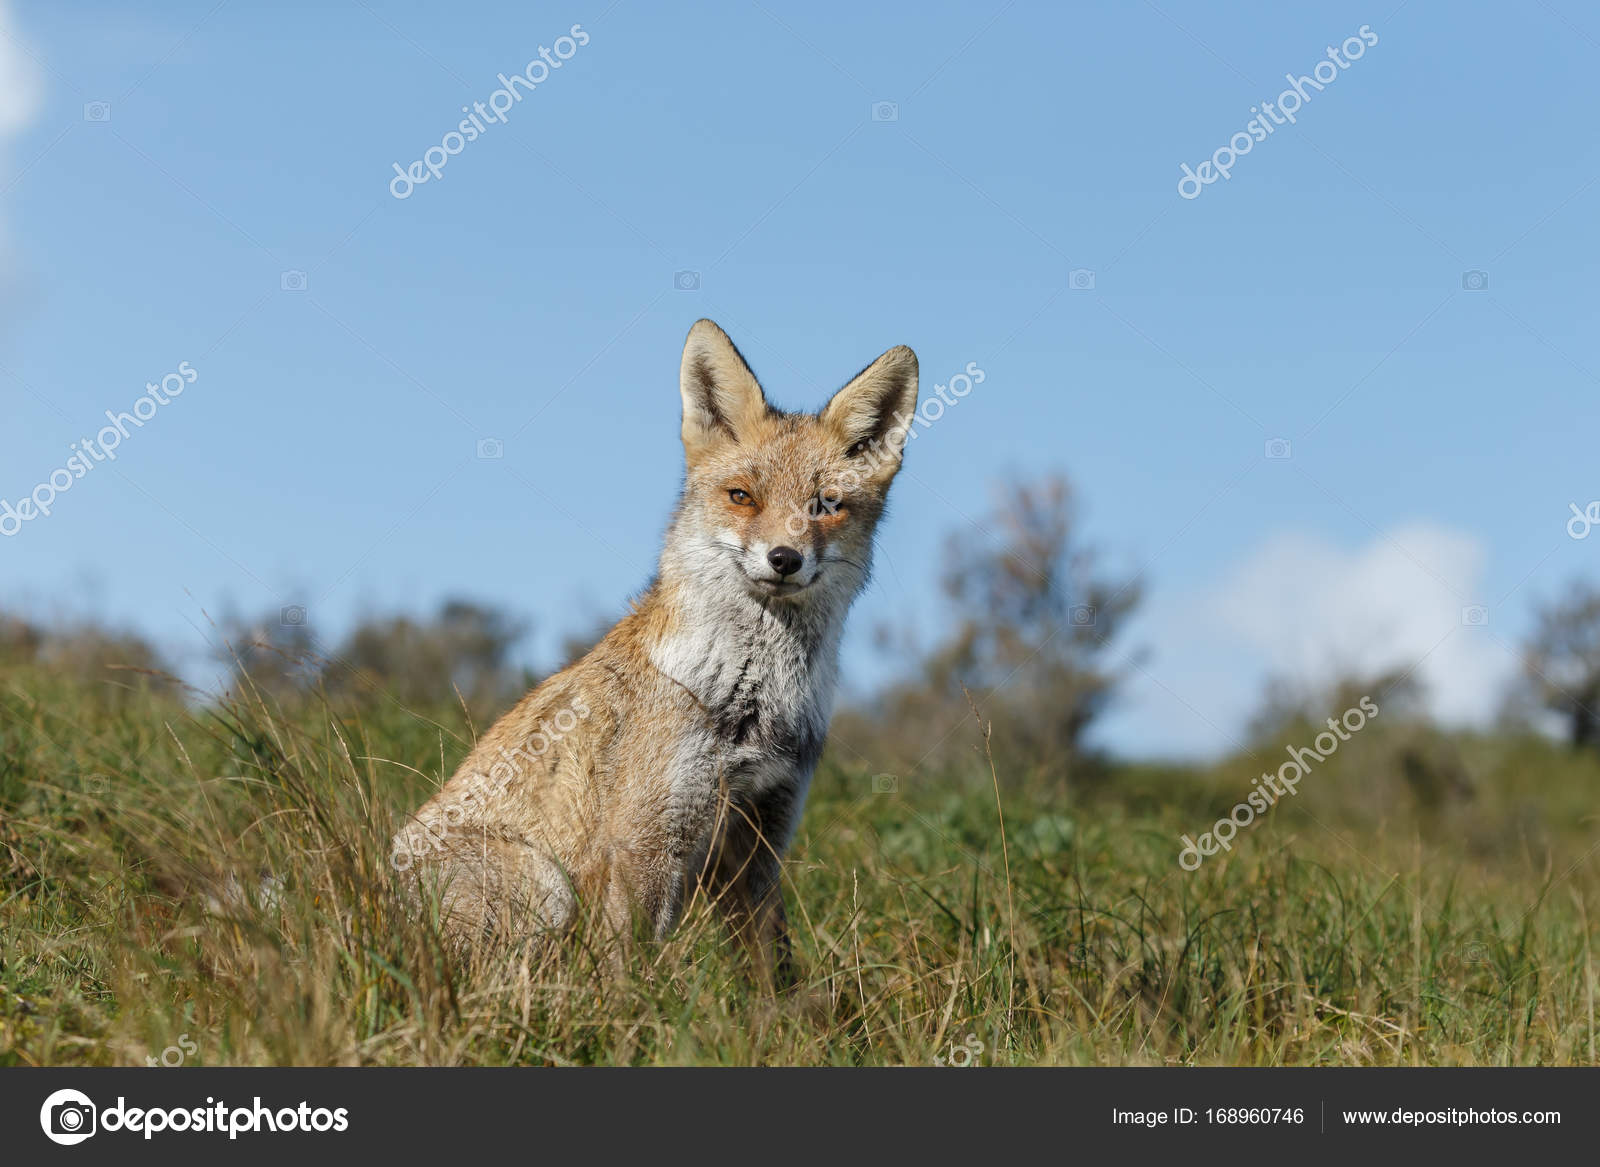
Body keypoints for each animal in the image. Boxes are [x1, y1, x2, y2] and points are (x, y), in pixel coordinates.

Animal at [393, 319, 919, 981]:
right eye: (742, 497)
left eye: (825, 504)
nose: (784, 559)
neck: (749, 701)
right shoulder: (647, 841)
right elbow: (627, 979)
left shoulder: (760, 841)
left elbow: (775, 976)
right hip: (544, 886)